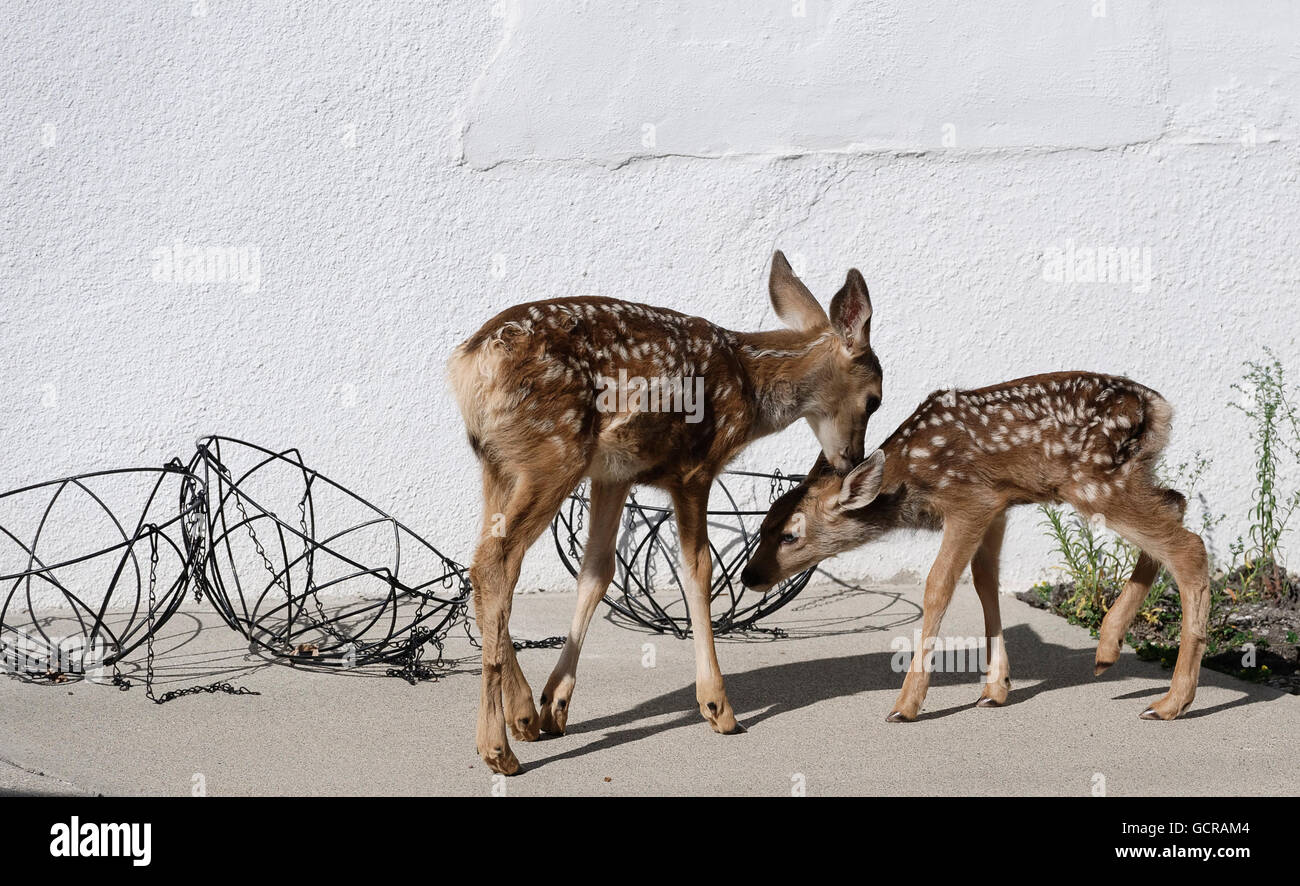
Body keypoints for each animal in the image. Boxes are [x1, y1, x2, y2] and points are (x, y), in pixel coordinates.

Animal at [447, 251, 883, 774]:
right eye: (875, 400)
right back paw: (496, 748)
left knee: (481, 562)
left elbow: (597, 572)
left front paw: (556, 704)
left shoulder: (614, 474)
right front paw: (718, 707)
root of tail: (474, 358)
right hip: (554, 452)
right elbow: (698, 568)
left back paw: (524, 716)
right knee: (498, 562)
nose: (851, 460)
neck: (750, 386)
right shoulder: (695, 467)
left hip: (500, 463)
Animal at [740, 371, 1210, 722]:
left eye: (791, 535)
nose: (749, 575)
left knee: (1188, 546)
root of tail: (1158, 407)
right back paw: (1108, 649)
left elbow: (939, 586)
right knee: (1177, 502)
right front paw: (994, 689)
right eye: (763, 525)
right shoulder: (998, 502)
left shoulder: (969, 499)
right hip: (1125, 474)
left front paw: (906, 705)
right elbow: (985, 581)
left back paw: (1170, 703)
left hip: (1093, 481)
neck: (911, 478)